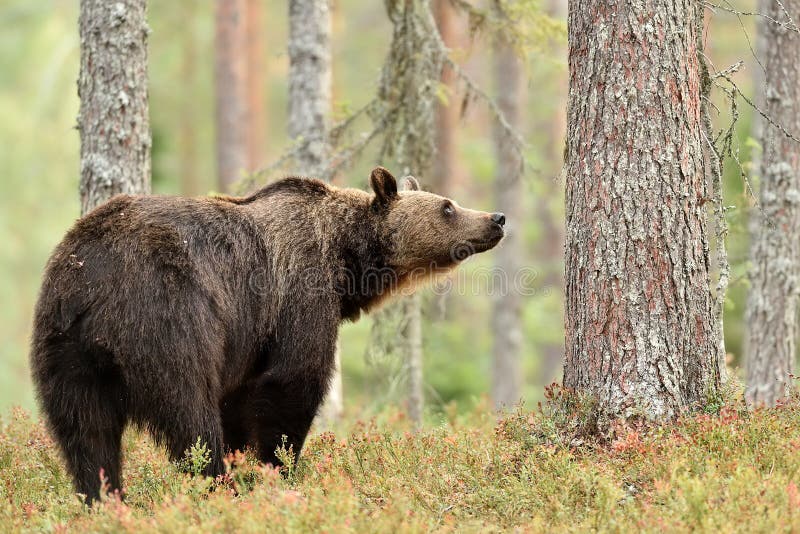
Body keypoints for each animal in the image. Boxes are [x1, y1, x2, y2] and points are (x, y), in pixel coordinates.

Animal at [30, 166, 506, 503]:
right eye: (447, 206)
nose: (496, 218)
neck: (346, 262)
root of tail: (93, 282)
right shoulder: (298, 294)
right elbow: (293, 382)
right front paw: (277, 469)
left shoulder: (248, 345)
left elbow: (239, 402)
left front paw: (251, 466)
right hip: (168, 317)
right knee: (189, 413)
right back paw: (215, 485)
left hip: (64, 346)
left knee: (85, 432)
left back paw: (103, 499)